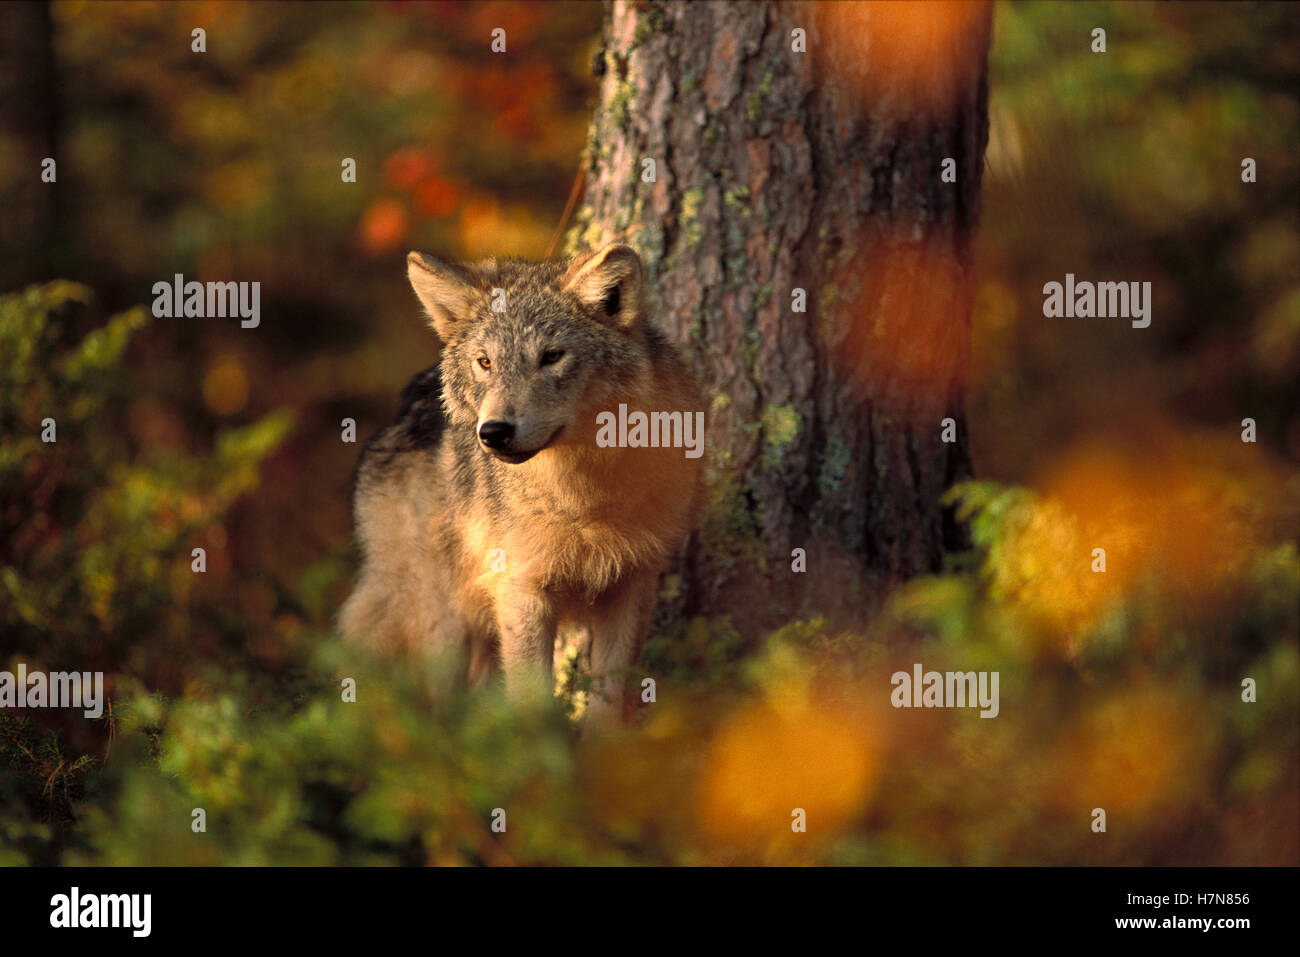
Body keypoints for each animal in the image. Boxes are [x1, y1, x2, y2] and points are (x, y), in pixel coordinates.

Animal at [339, 243, 705, 722]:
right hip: (444, 617)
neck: (582, 499)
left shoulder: (631, 585)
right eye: (485, 362)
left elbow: (608, 700)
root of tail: (401, 412)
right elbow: (533, 701)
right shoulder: (522, 591)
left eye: (552, 356)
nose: (494, 432)